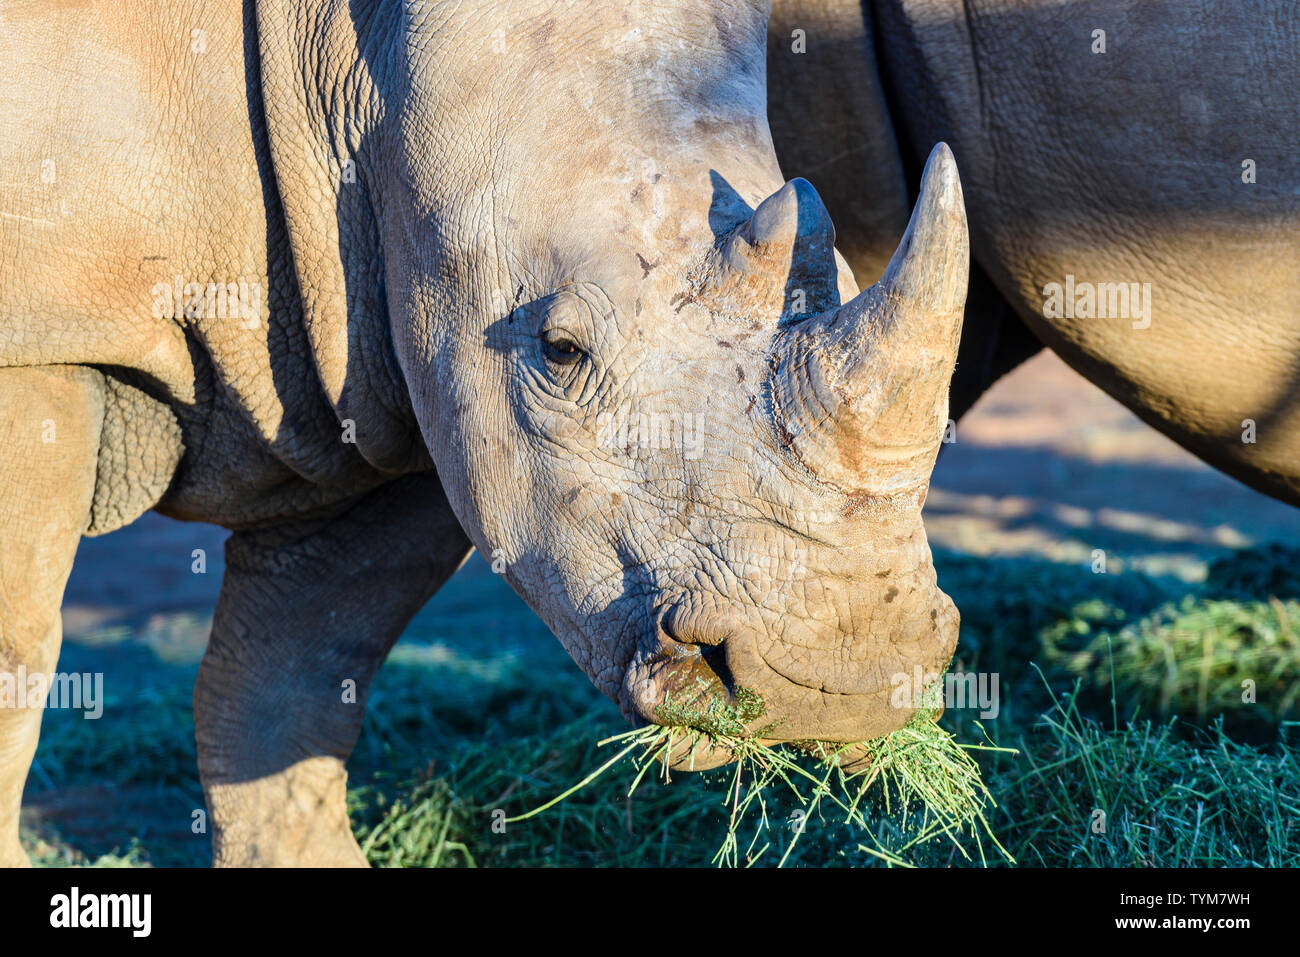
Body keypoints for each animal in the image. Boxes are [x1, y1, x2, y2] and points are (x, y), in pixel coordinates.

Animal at [0, 0, 968, 866]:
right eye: (560, 349)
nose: (839, 680)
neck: (346, 58)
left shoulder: (403, 377)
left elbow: (297, 663)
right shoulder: (34, 342)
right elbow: (19, 657)